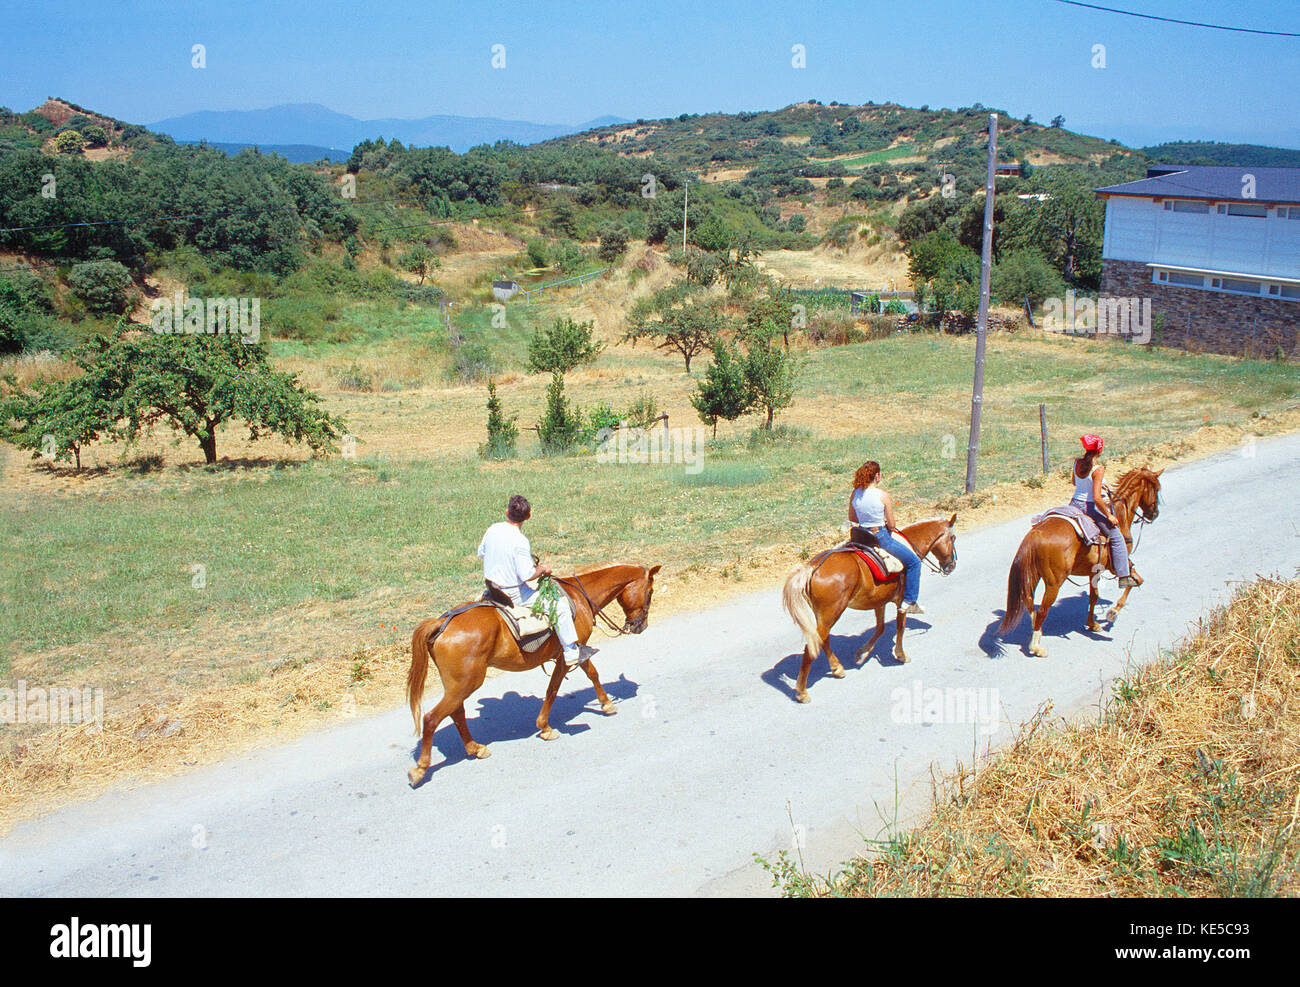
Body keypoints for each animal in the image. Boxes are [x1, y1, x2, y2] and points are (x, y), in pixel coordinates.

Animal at [405, 562, 661, 787]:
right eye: (649, 591)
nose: (641, 626)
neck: (579, 596)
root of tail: (441, 623)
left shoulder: (574, 651)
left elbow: (590, 674)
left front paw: (604, 703)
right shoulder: (569, 653)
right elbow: (557, 687)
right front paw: (547, 727)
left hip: (458, 684)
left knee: (456, 712)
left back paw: (475, 748)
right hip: (465, 682)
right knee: (432, 718)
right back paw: (420, 769)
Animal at [781, 515, 959, 703]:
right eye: (953, 538)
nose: (951, 566)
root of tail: (812, 567)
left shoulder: (880, 602)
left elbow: (880, 628)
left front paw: (862, 653)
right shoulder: (901, 601)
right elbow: (900, 627)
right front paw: (901, 655)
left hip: (823, 614)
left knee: (823, 639)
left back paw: (837, 669)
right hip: (832, 612)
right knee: (812, 646)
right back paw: (802, 692)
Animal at [999, 466, 1162, 656]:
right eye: (1157, 488)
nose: (1154, 514)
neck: (1120, 514)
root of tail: (1035, 534)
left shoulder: (1094, 571)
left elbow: (1094, 597)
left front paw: (1092, 624)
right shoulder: (1119, 563)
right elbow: (1133, 581)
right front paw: (1112, 613)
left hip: (1033, 576)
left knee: (1029, 602)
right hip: (1054, 583)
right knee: (1042, 610)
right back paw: (1036, 647)